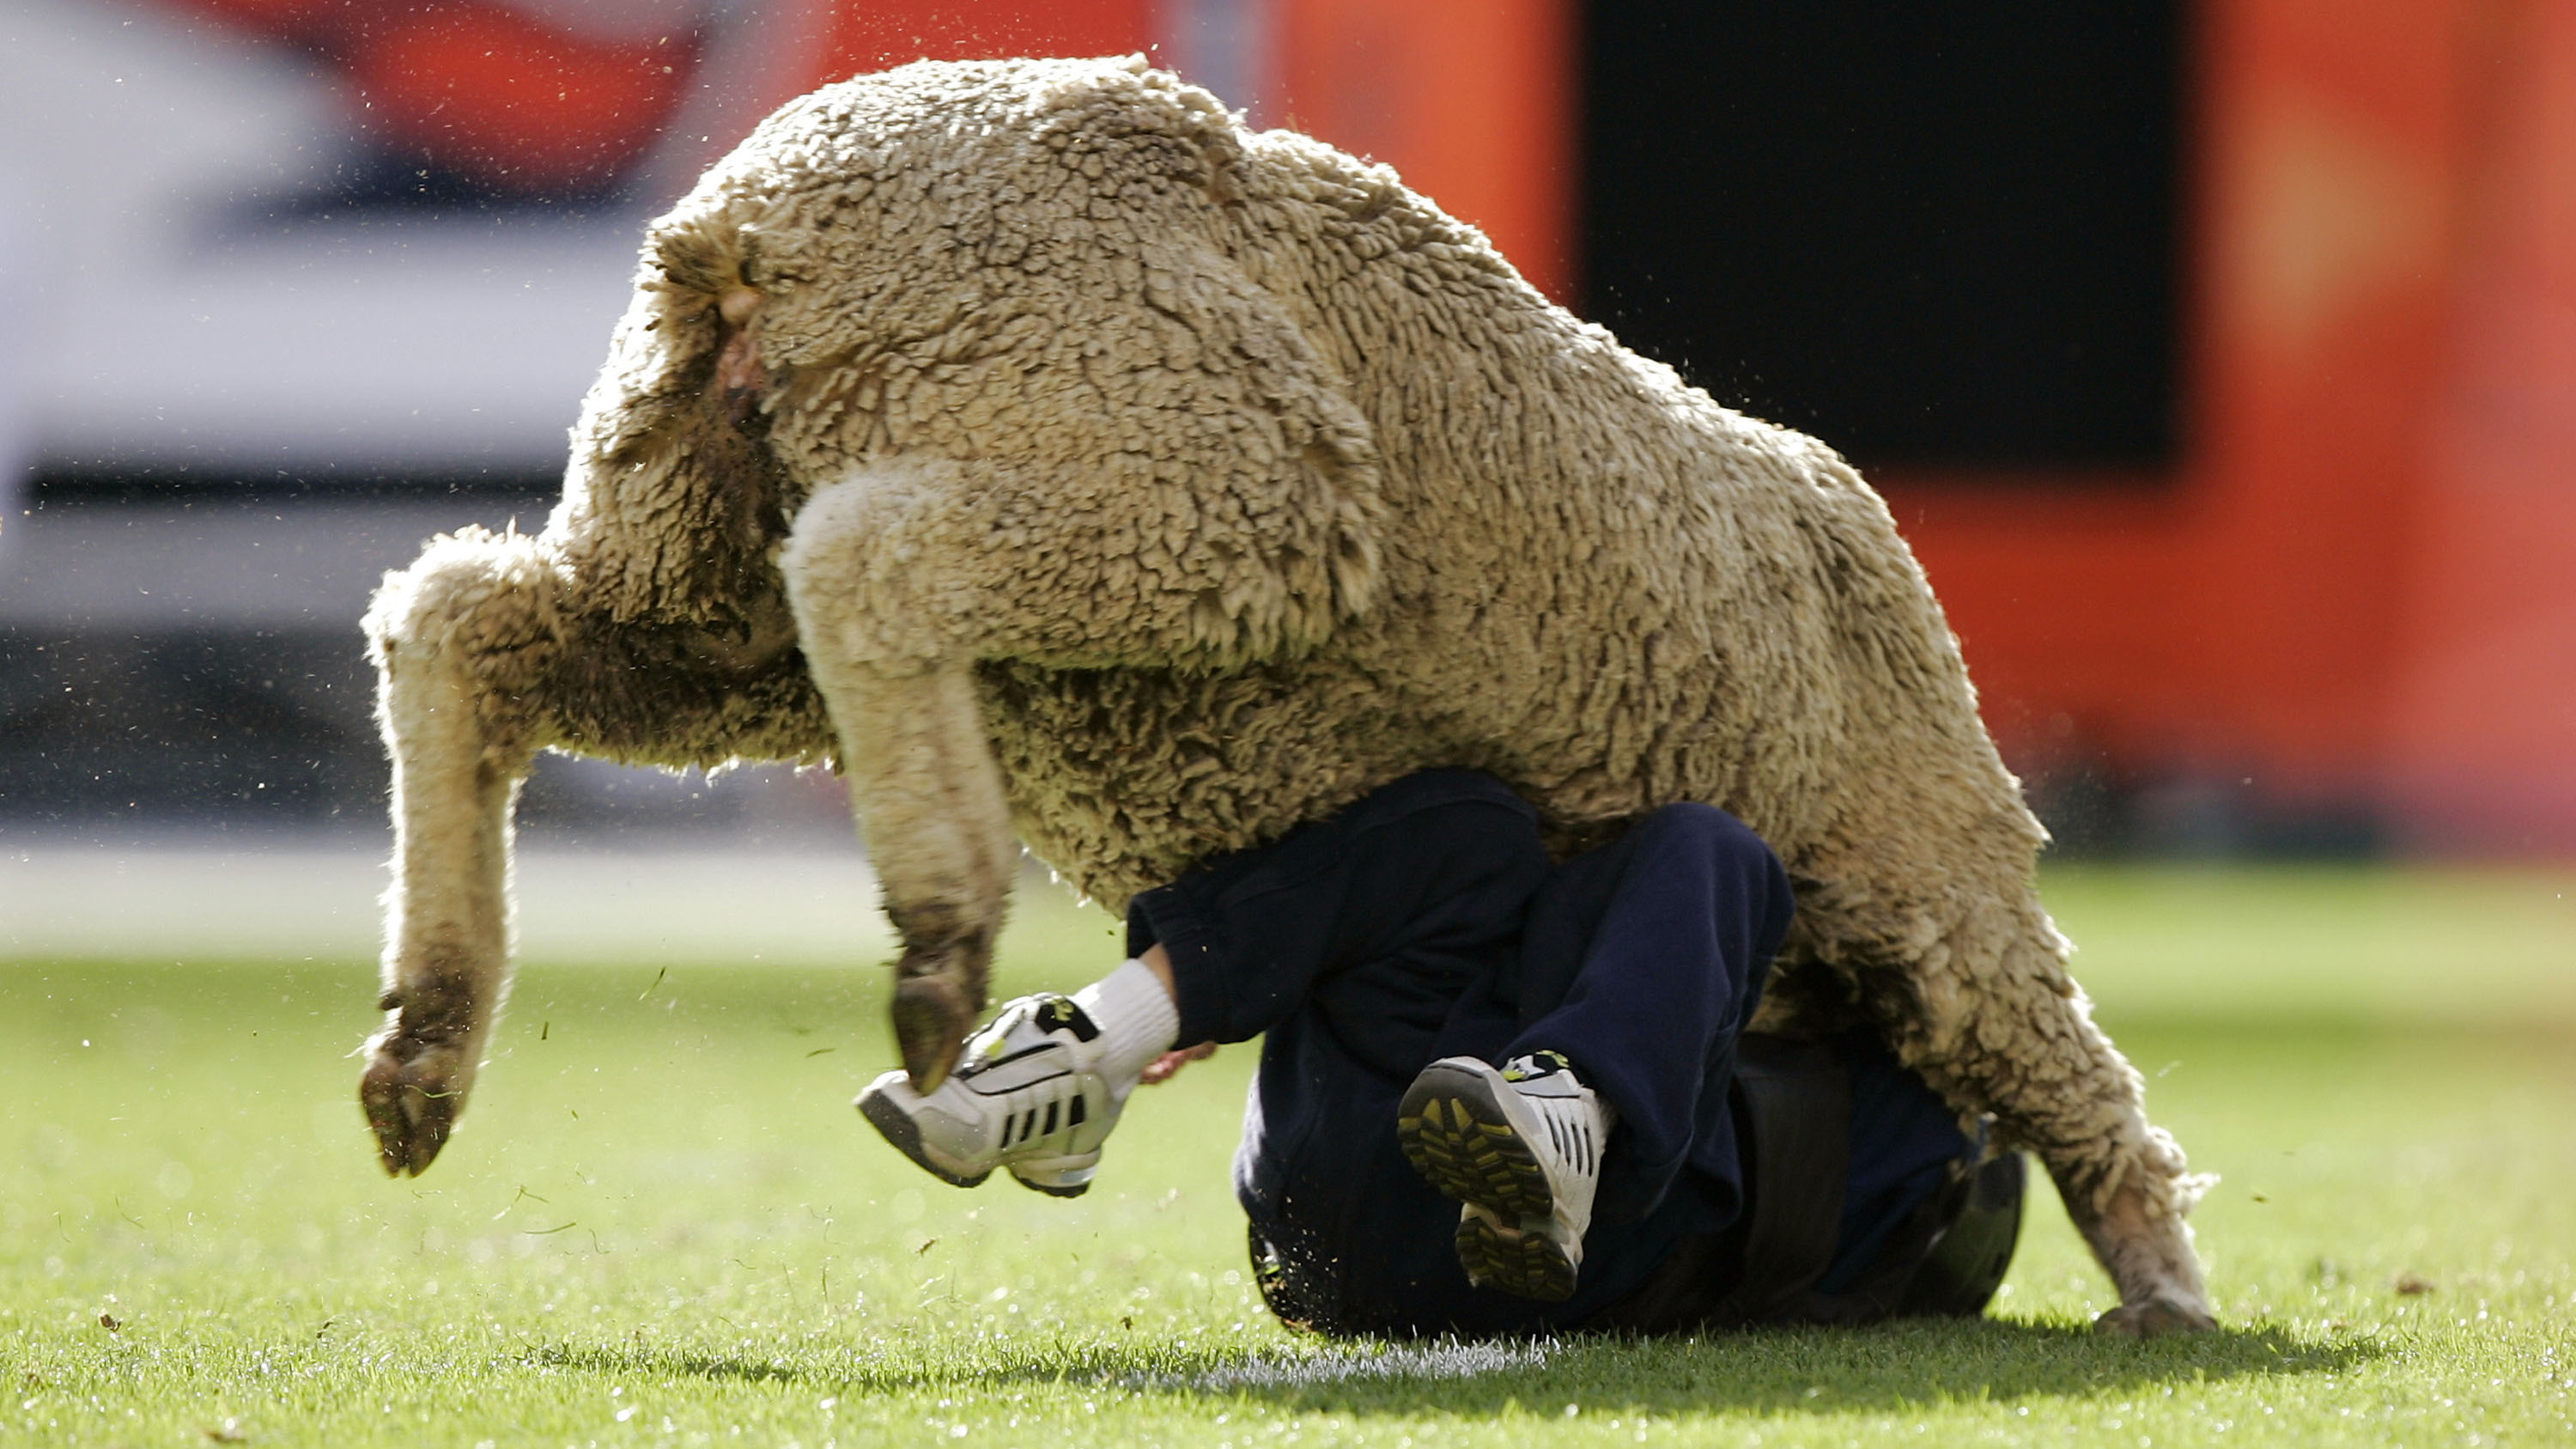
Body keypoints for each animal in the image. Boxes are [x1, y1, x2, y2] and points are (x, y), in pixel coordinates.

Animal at [358, 55, 2214, 1336]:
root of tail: (751, 222)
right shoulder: (1932, 863)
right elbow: (2083, 1100)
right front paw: (2159, 1279)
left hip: (714, 562)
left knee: (461, 619)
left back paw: (427, 1041)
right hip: (1206, 474)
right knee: (862, 559)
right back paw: (939, 923)